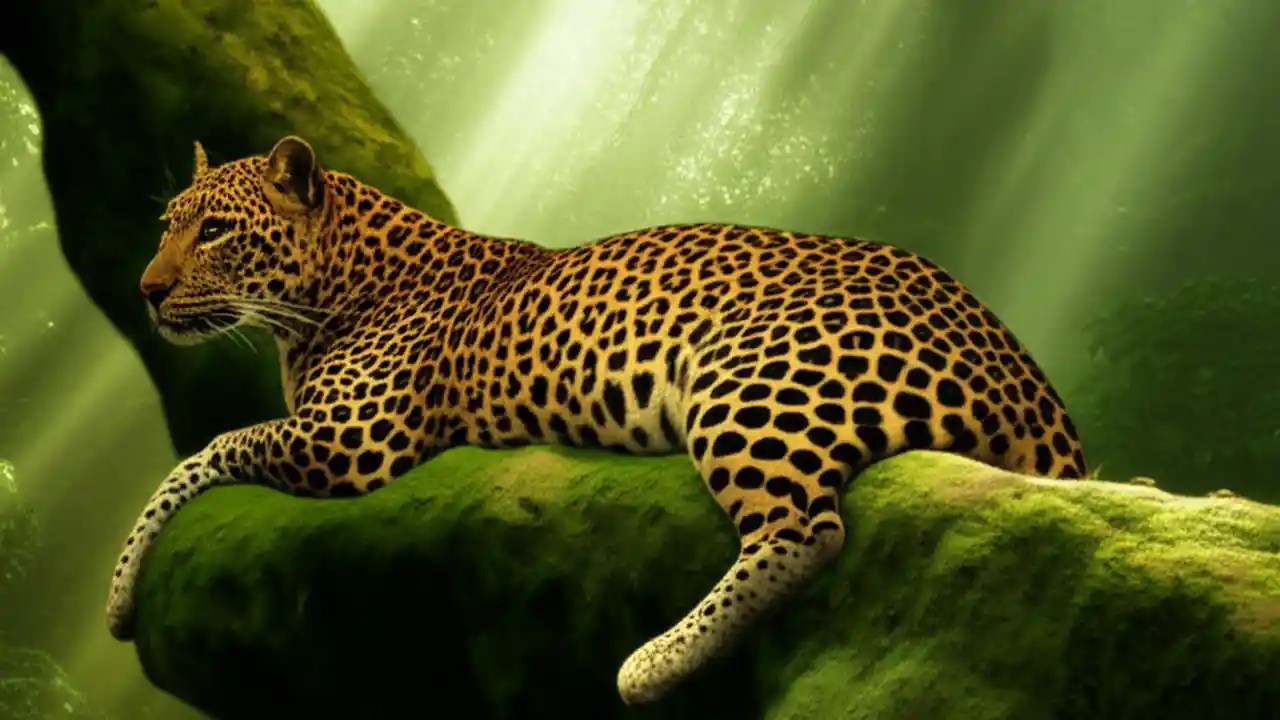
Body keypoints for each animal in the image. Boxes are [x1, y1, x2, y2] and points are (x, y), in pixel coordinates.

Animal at [109, 135, 1087, 706]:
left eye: (216, 232)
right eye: (167, 225)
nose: (146, 291)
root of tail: (1023, 370)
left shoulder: (351, 440)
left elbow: (204, 452)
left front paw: (118, 594)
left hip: (746, 386)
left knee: (803, 533)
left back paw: (650, 665)